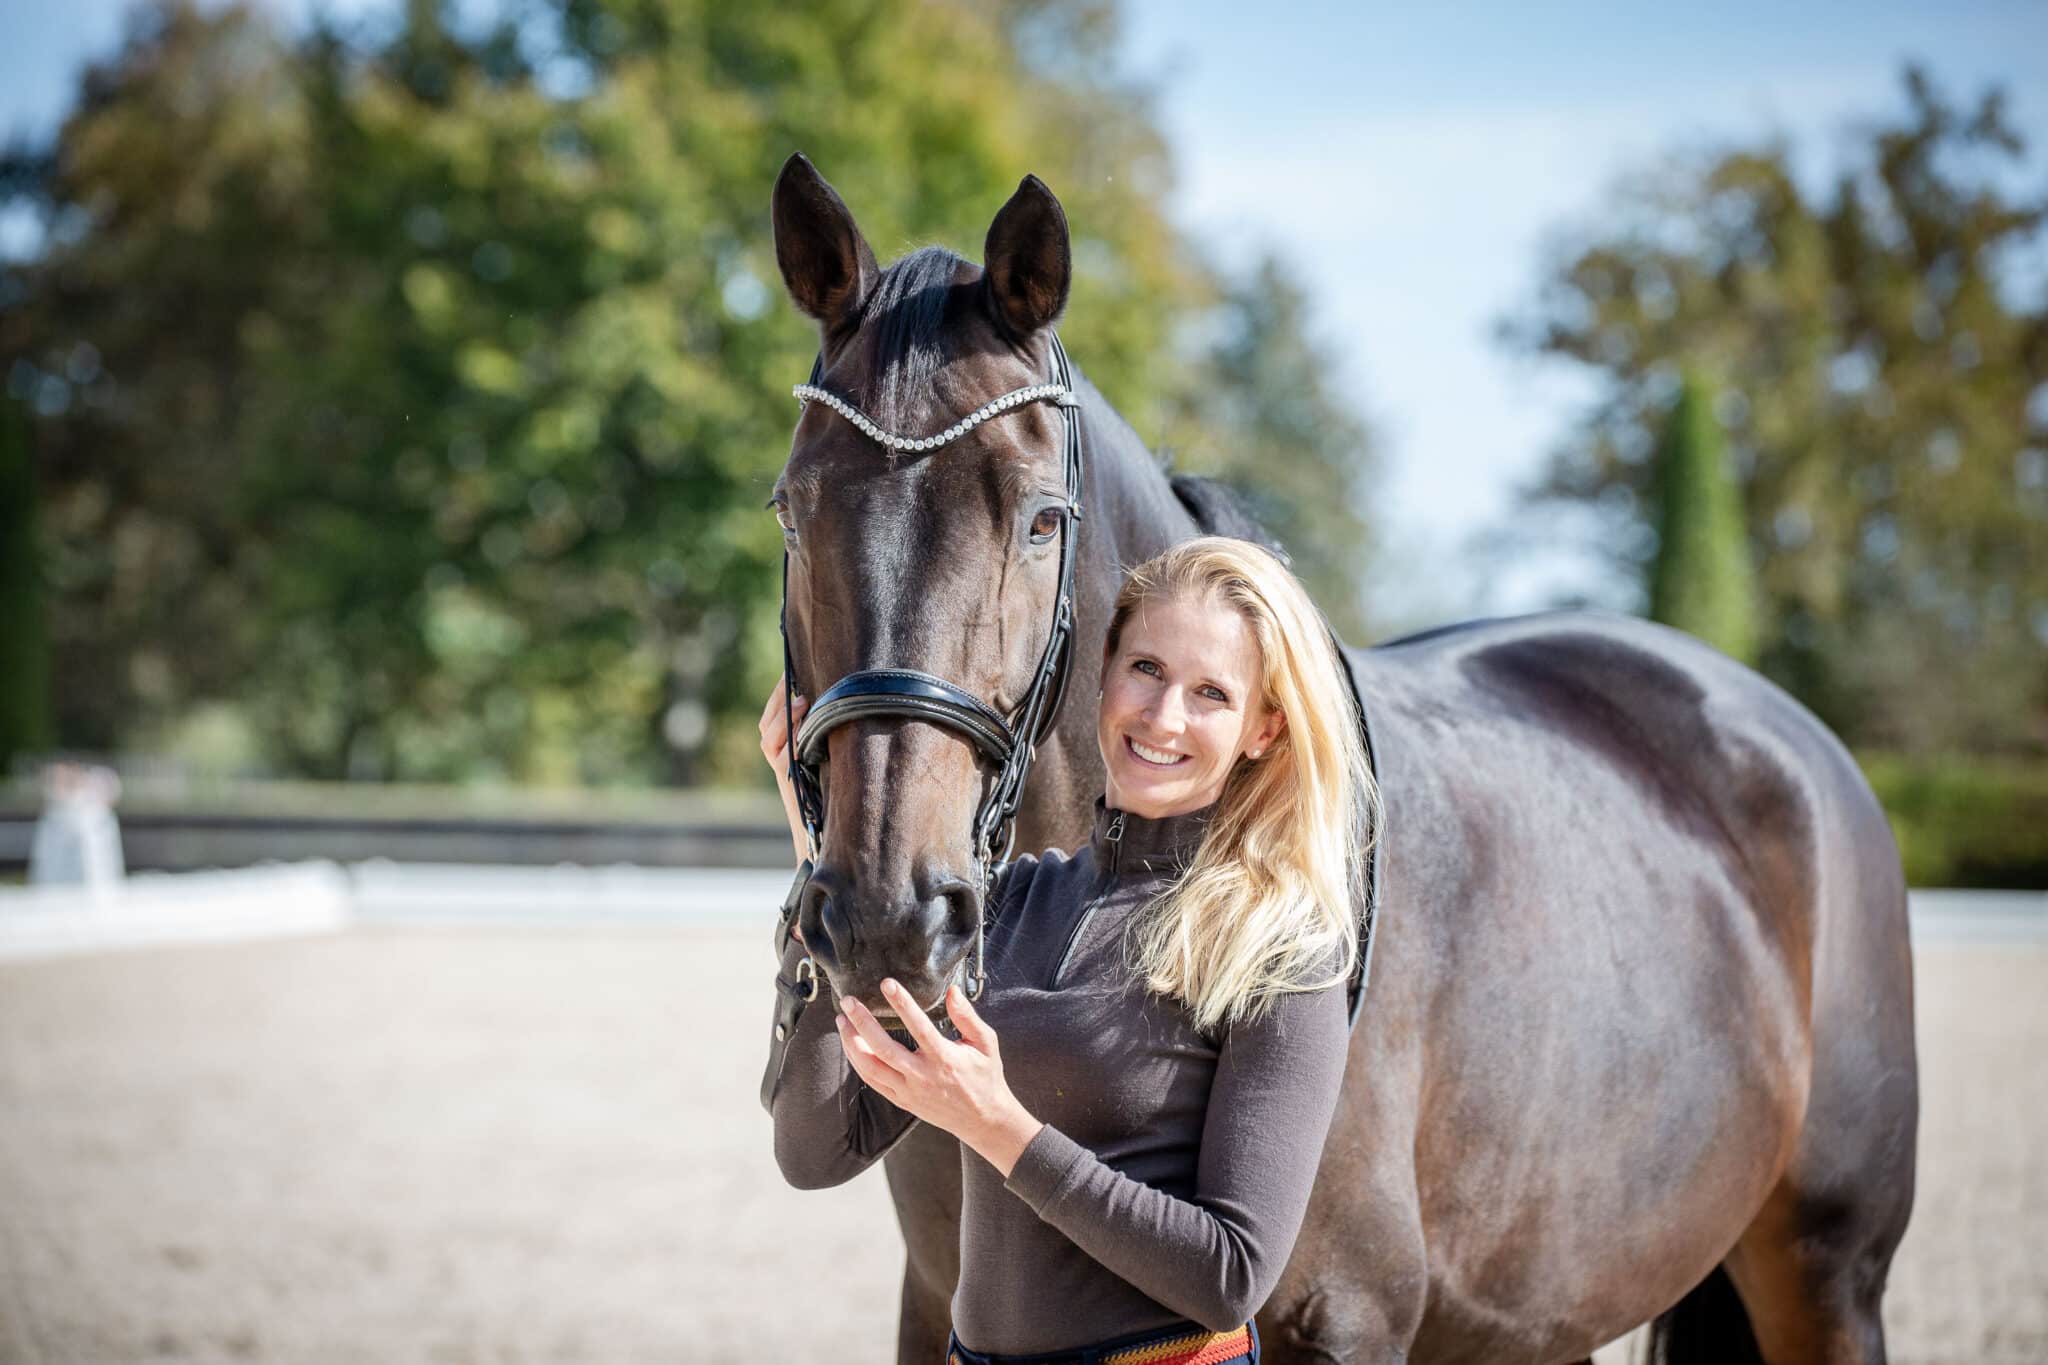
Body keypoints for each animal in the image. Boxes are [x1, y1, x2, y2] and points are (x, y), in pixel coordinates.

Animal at [764, 153, 1918, 1365]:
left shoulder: (1348, 1320)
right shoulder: (927, 1299)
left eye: (1038, 521)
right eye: (792, 512)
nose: (889, 916)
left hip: (1827, 1279)